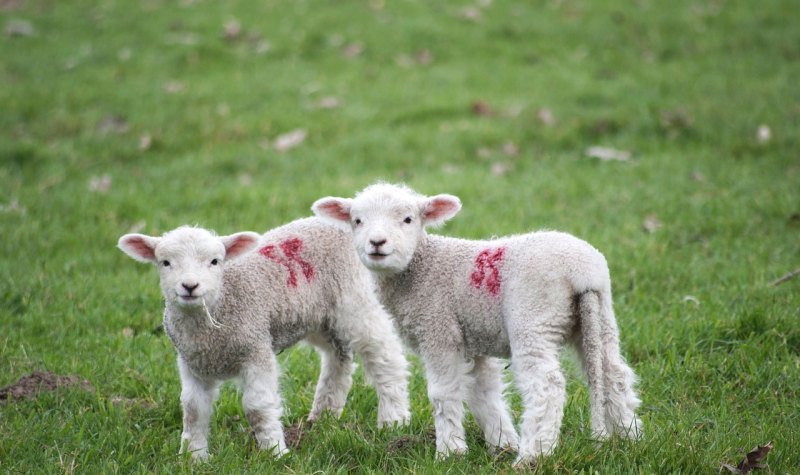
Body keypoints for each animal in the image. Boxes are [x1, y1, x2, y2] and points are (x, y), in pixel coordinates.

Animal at [115, 219, 410, 462]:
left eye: (215, 261)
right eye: (165, 263)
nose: (189, 286)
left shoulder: (255, 348)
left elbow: (257, 408)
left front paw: (275, 452)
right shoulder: (192, 363)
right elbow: (193, 409)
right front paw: (193, 458)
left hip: (356, 299)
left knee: (385, 357)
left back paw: (393, 420)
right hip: (318, 317)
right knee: (339, 358)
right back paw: (323, 418)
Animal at [312, 183, 644, 464]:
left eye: (407, 219)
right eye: (357, 221)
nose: (377, 243)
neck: (422, 268)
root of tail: (583, 272)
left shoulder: (439, 330)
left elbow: (443, 392)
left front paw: (450, 452)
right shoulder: (474, 340)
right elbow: (484, 393)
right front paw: (501, 442)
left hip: (534, 317)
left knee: (546, 385)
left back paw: (533, 456)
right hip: (598, 317)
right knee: (613, 373)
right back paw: (630, 438)